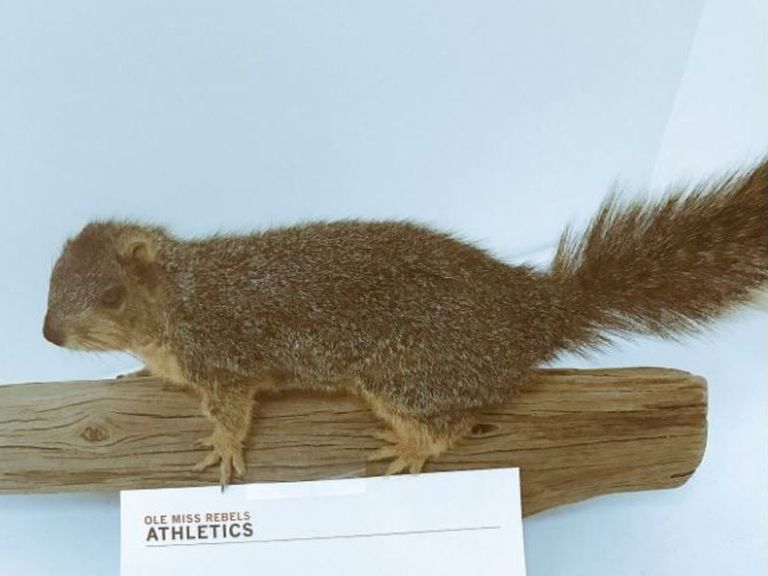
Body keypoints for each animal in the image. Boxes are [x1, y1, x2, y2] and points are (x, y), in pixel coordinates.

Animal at [43, 159, 767, 486]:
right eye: (50, 275)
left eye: (111, 294)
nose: (49, 335)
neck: (177, 297)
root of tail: (532, 315)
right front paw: (138, 372)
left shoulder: (225, 359)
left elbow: (231, 410)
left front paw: (223, 448)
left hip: (411, 376)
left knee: (454, 424)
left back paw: (412, 447)